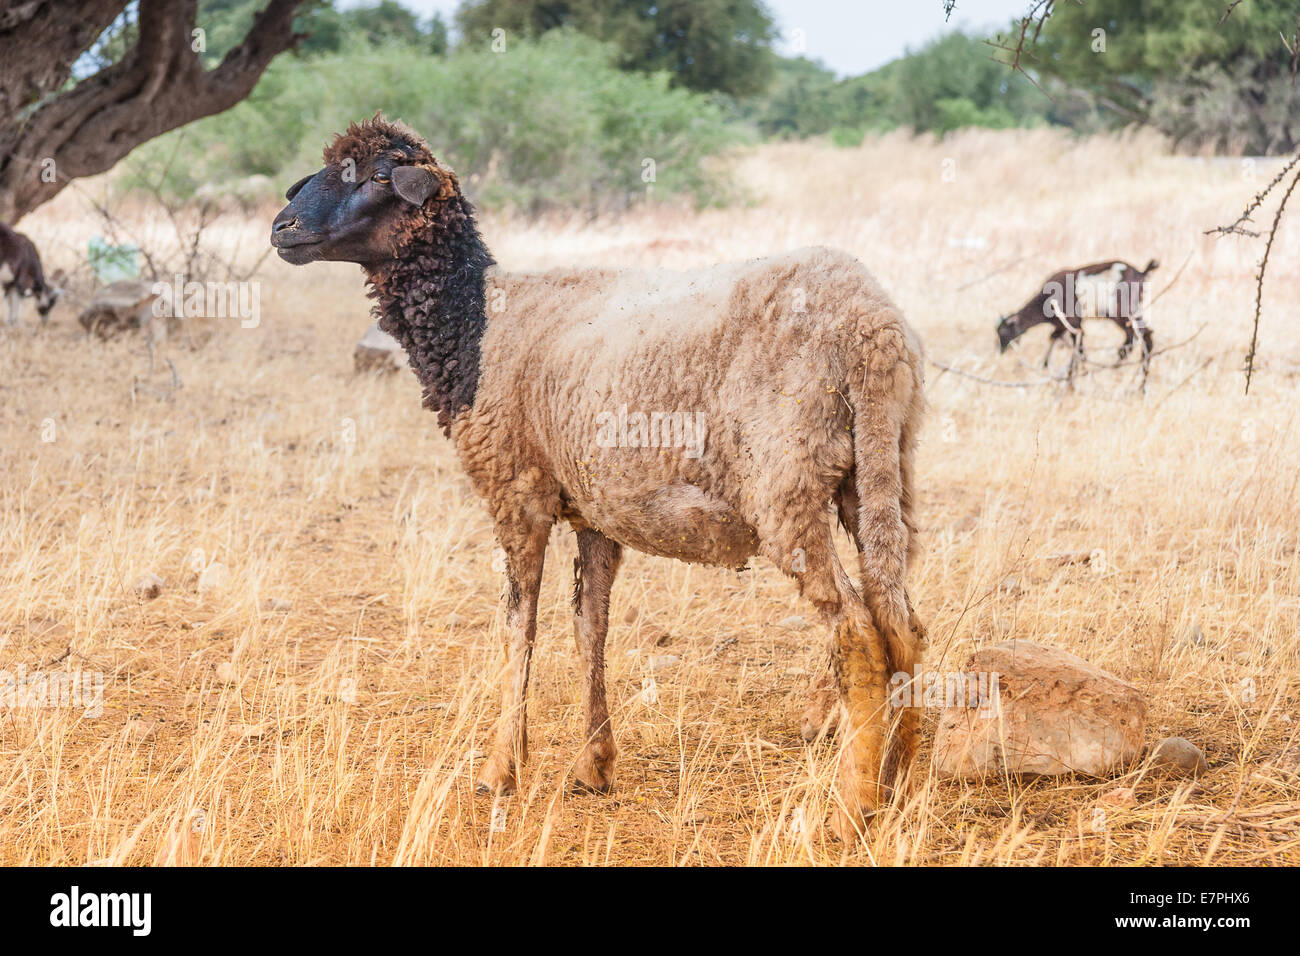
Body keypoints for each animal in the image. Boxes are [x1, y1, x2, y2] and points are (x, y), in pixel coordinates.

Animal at [269, 116, 928, 837]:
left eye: (375, 175)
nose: (281, 226)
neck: (477, 326)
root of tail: (870, 330)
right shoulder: (593, 514)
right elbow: (591, 628)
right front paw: (594, 764)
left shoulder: (517, 493)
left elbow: (519, 628)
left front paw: (501, 769)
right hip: (879, 475)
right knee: (903, 627)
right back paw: (901, 778)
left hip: (789, 487)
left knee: (859, 639)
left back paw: (852, 809)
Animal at [997, 259, 1158, 379]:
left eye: (1003, 332)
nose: (1001, 350)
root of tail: (1141, 273)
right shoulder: (1061, 325)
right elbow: (1054, 338)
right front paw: (1045, 365)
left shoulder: (1073, 321)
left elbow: (1077, 346)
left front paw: (1081, 370)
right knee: (1133, 337)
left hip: (1121, 311)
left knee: (1144, 334)